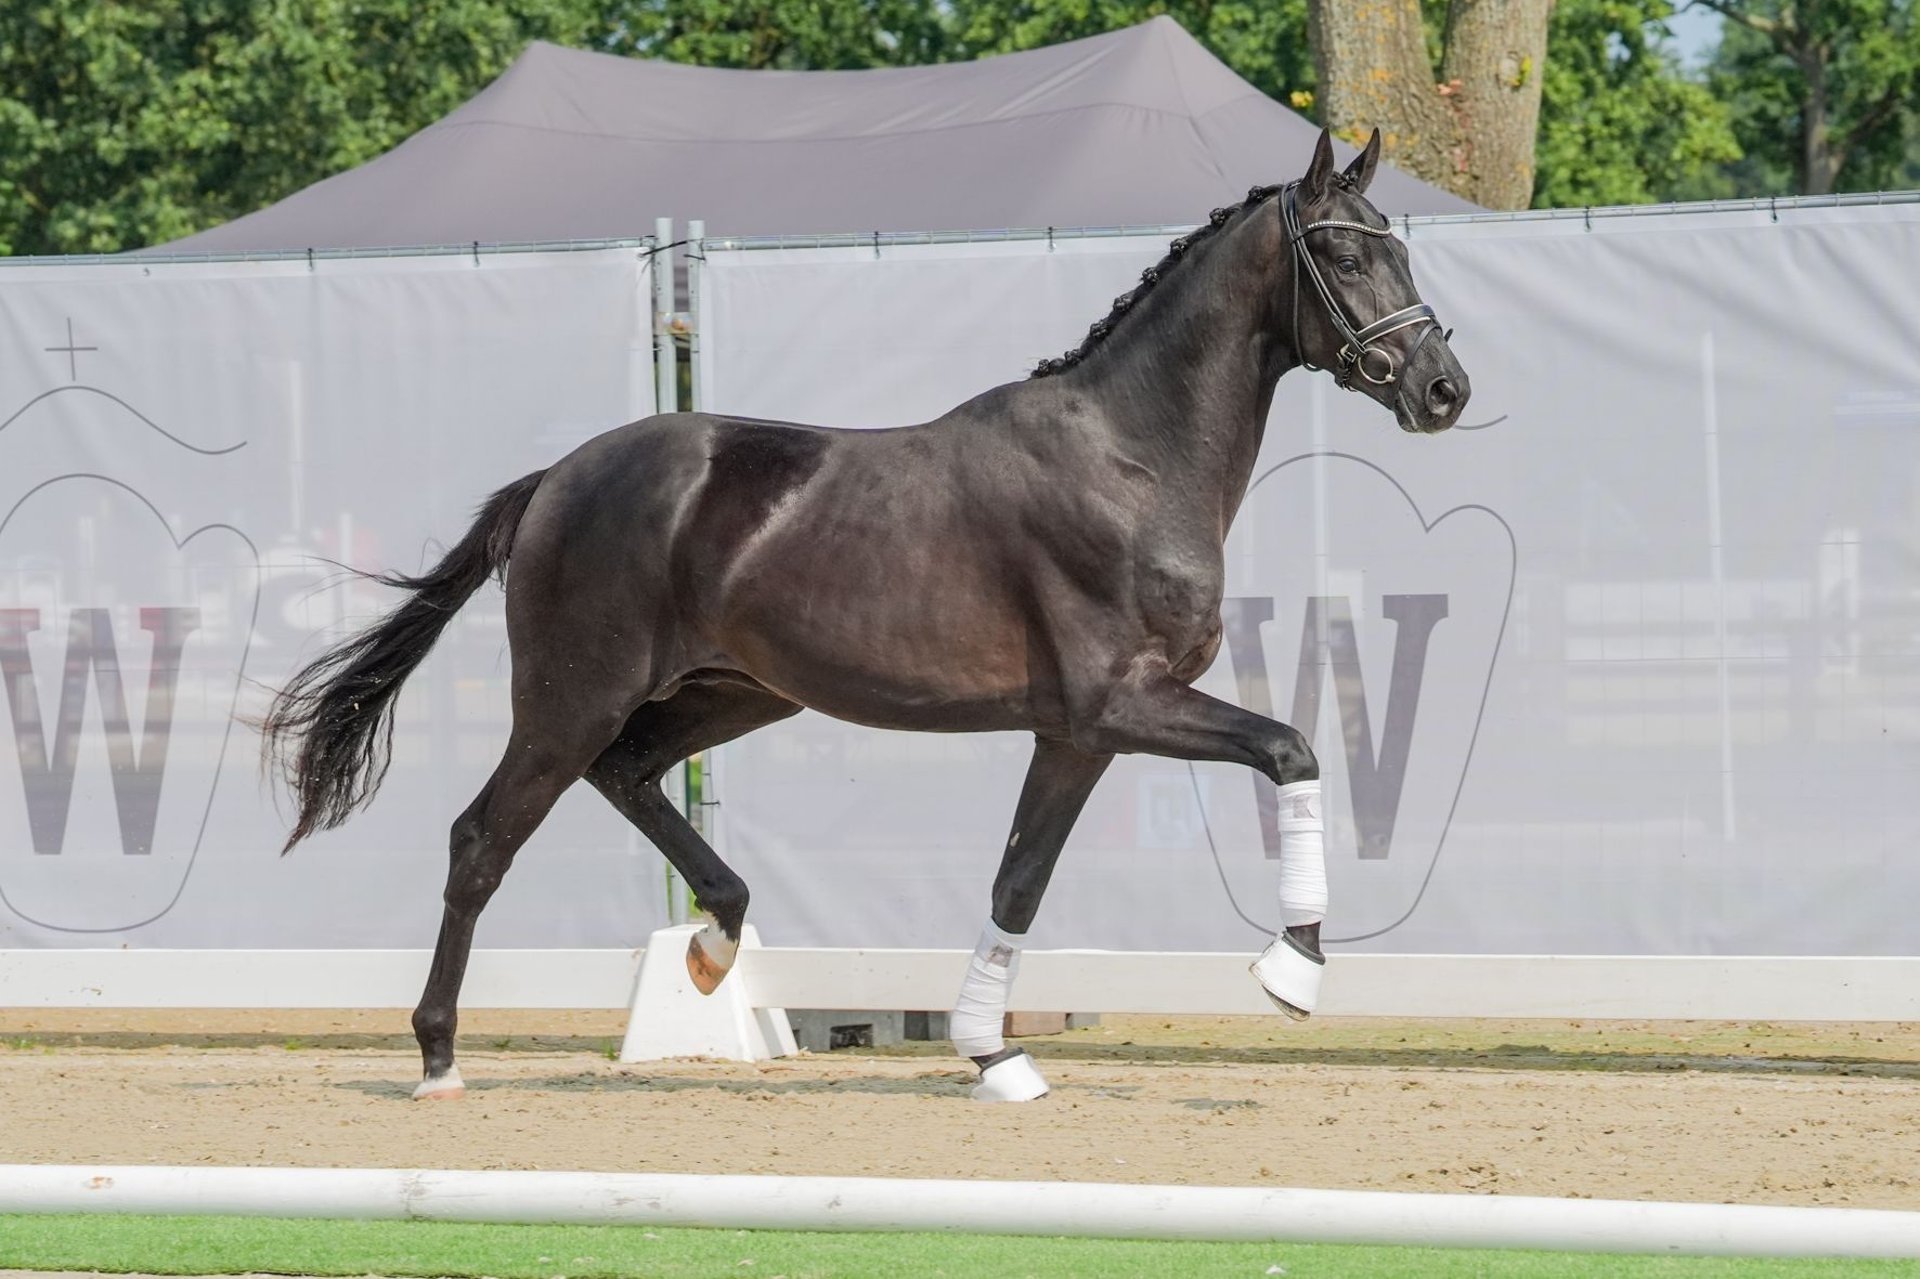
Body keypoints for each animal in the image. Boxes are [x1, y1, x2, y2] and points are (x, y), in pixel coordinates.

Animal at [261, 128, 1470, 1103]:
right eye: (1346, 254)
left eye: (1399, 247)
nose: (1443, 388)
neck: (1130, 456)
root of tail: (556, 477)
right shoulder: (1123, 703)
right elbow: (1292, 749)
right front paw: (1293, 969)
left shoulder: (1073, 733)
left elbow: (1019, 880)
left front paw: (996, 1054)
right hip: (569, 700)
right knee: (482, 839)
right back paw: (438, 1057)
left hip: (733, 695)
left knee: (631, 773)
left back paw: (715, 942)